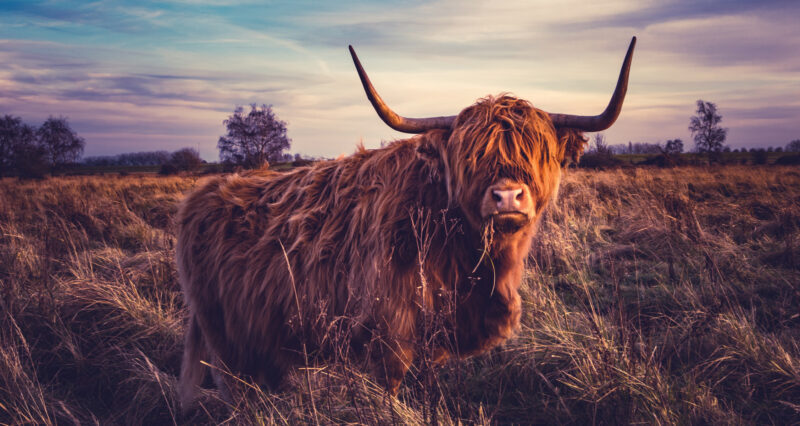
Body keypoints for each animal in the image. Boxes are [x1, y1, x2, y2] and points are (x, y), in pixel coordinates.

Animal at [177, 37, 636, 409]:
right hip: (224, 339)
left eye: (537, 152)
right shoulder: (387, 339)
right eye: (470, 156)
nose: (507, 196)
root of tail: (206, 191)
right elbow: (389, 394)